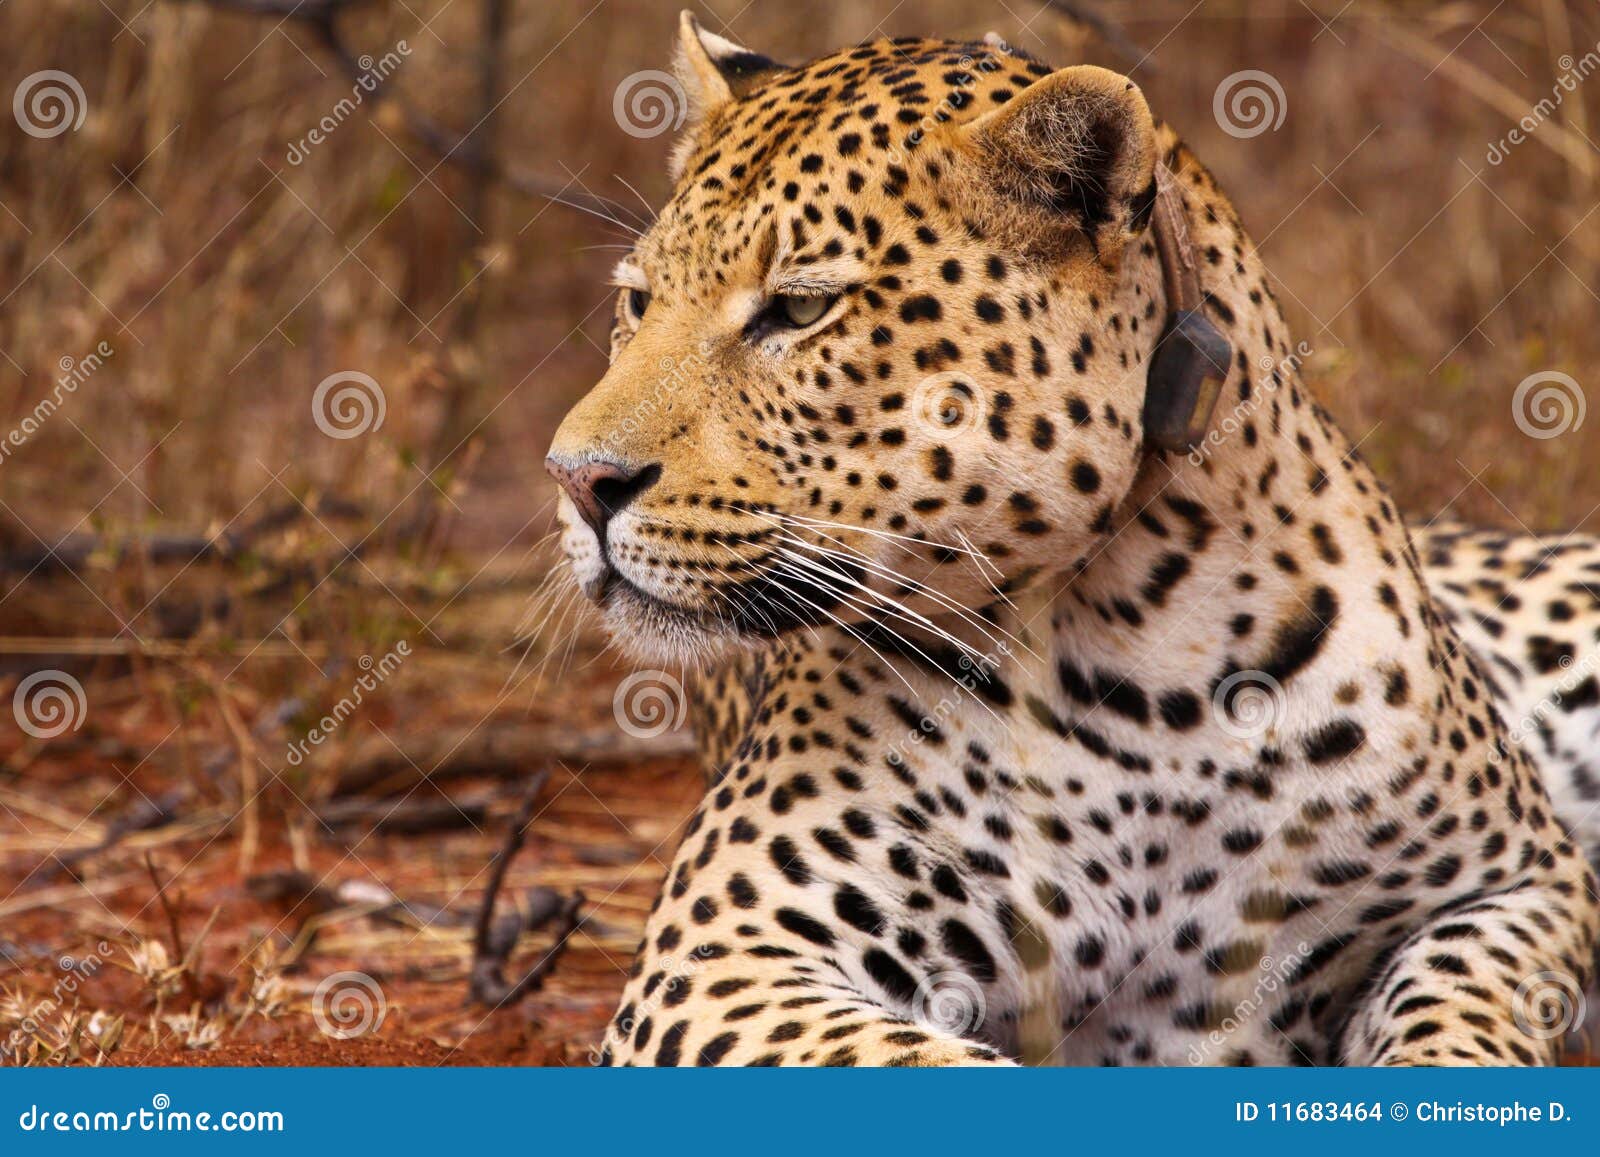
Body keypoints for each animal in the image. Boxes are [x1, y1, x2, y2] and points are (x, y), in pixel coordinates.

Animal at [544, 12, 1600, 1066]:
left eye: (800, 308)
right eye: (638, 301)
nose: (578, 480)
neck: (1152, 650)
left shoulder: (1521, 879)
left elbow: (1452, 1012)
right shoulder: (725, 950)